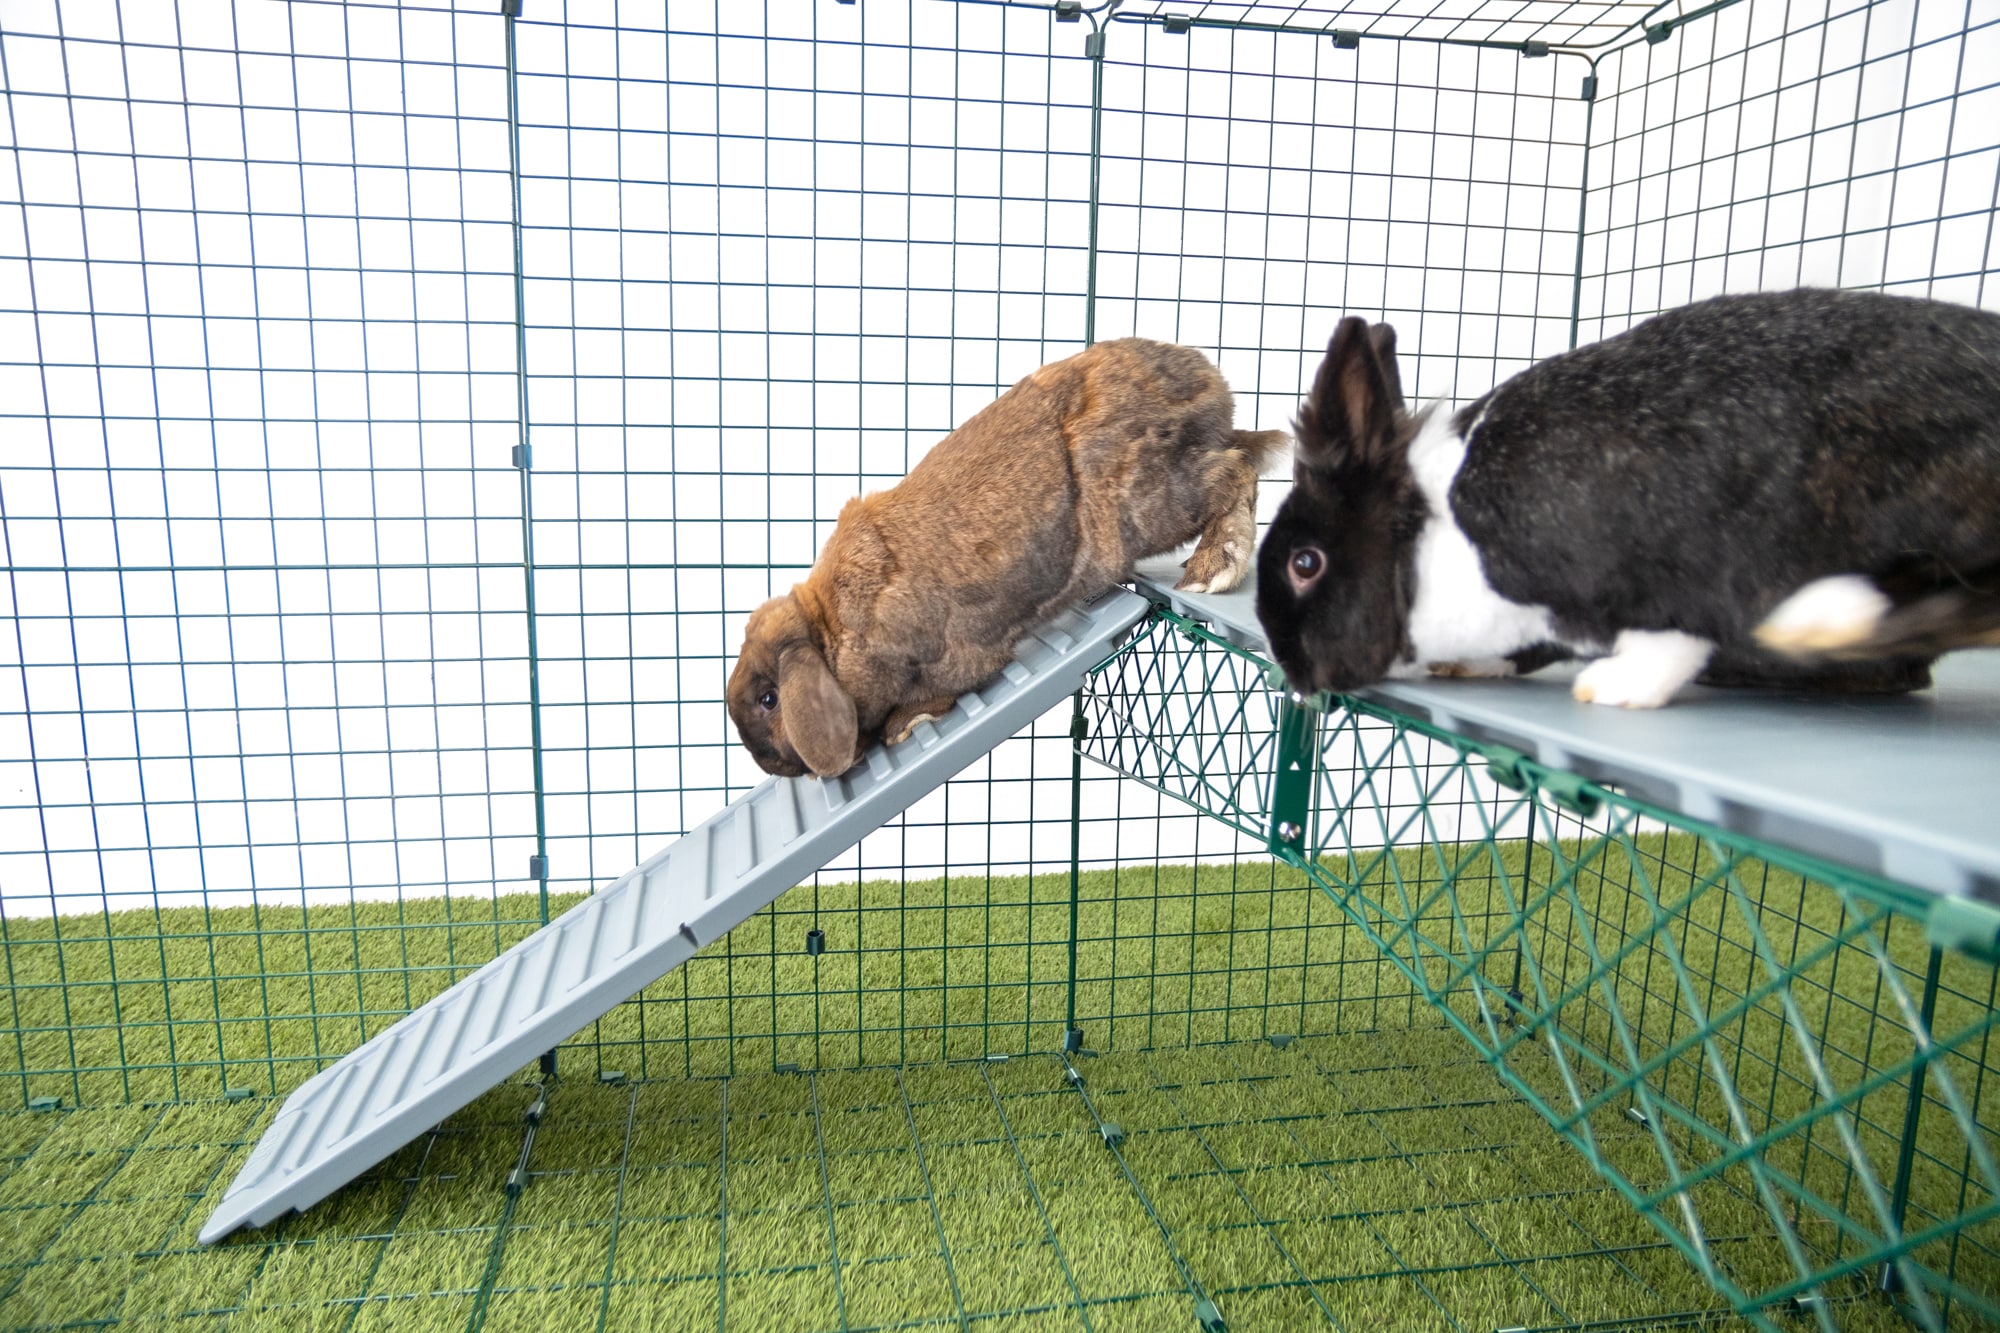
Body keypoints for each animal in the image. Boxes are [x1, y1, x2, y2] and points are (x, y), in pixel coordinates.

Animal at [730, 337, 1290, 777]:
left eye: (769, 700)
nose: (766, 764)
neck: (827, 627)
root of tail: (1211, 386)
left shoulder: (947, 660)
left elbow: (932, 695)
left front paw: (904, 727)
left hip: (1155, 499)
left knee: (1236, 471)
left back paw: (1211, 569)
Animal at [1255, 288, 2000, 710]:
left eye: (1305, 563)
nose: (1294, 674)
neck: (1432, 539)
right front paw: (1467, 664)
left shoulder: (1680, 571)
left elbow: (1669, 637)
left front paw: (1614, 688)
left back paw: (1820, 625)